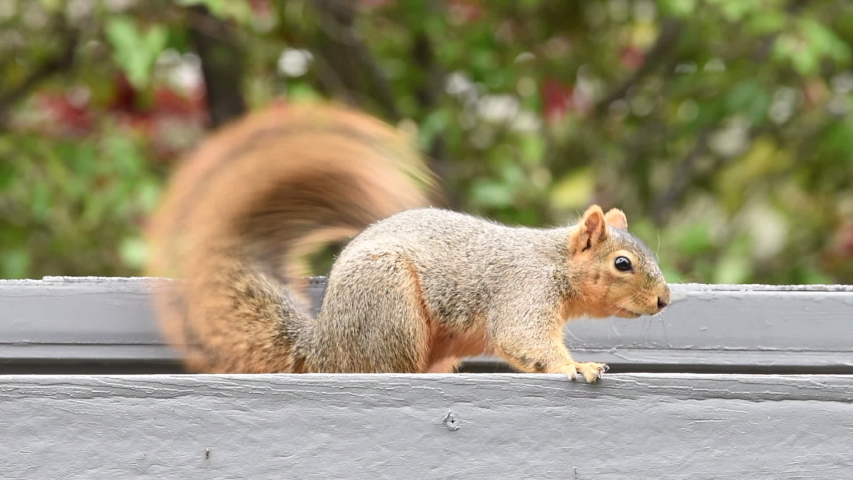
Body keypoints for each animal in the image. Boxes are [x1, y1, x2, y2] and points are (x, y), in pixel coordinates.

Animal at [145, 102, 671, 383]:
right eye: (623, 264)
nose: (665, 300)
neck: (555, 260)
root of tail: (326, 347)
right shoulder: (524, 289)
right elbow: (523, 338)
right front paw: (577, 366)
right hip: (389, 301)